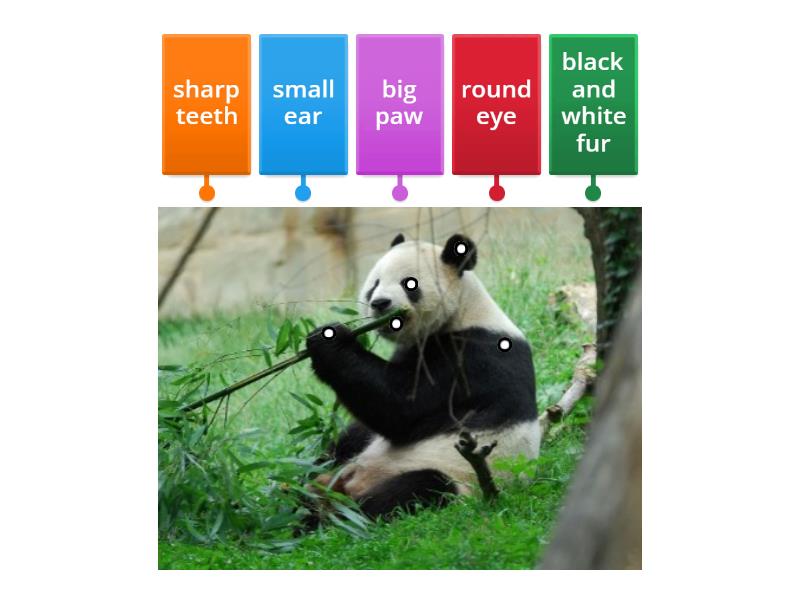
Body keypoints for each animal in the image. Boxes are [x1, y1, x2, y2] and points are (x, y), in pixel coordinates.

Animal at [305, 232, 539, 519]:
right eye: (375, 284)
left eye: (409, 284)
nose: (379, 303)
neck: (465, 312)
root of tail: (347, 484)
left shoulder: (474, 360)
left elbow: (401, 408)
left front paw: (329, 340)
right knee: (348, 439)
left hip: (457, 476)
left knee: (418, 487)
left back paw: (330, 515)